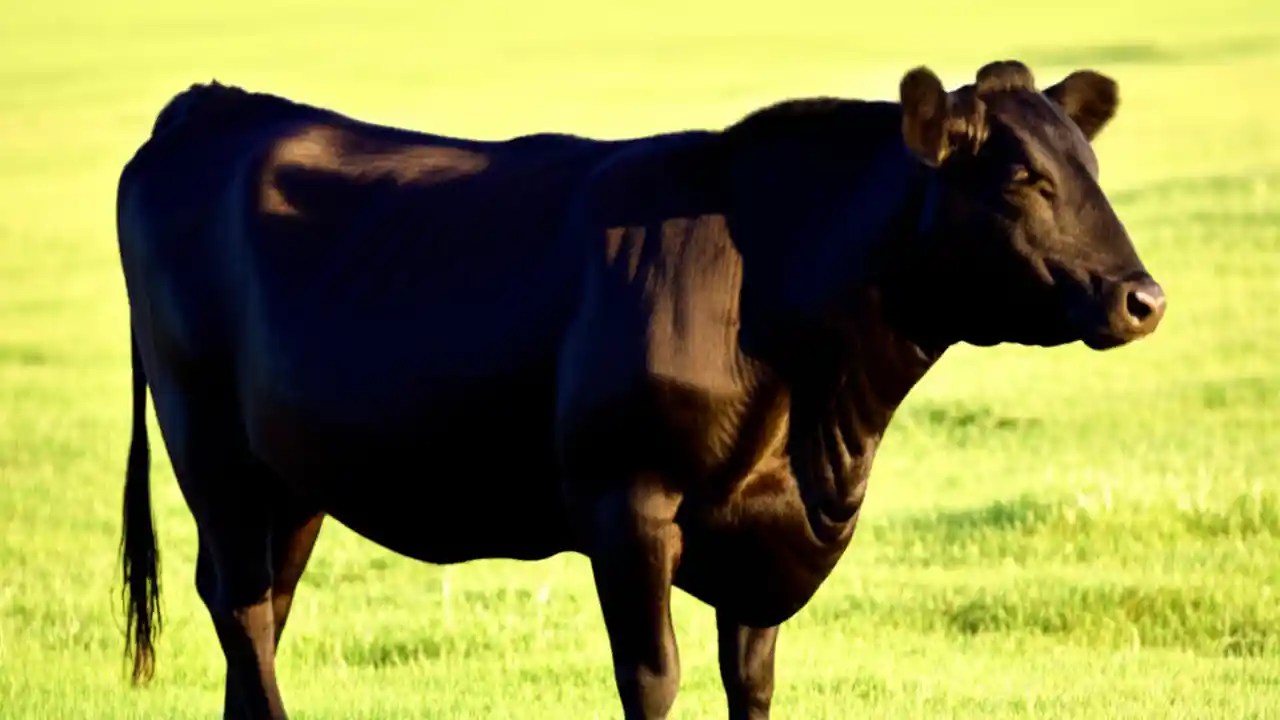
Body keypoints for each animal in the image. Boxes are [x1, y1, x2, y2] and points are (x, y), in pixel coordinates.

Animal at [115, 59, 1165, 719]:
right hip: (208, 449)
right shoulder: (628, 505)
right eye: (1023, 176)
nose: (1143, 298)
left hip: (290, 479)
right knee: (244, 610)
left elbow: (751, 679)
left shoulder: (760, 534)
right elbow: (652, 678)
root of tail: (210, 103)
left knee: (259, 611)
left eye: (1090, 165)